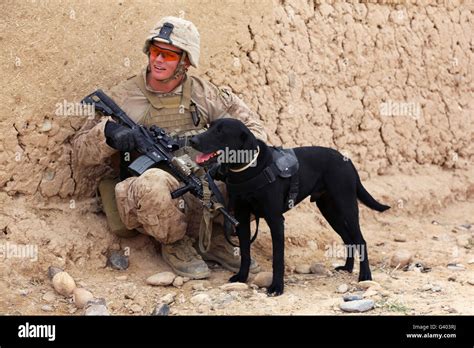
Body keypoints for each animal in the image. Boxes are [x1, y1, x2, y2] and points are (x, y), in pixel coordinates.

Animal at [189, 118, 388, 294]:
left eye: (220, 132)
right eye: (209, 126)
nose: (192, 140)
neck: (248, 170)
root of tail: (346, 159)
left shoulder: (276, 220)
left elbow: (278, 258)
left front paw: (277, 287)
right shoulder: (242, 219)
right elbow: (245, 253)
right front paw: (241, 277)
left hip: (347, 207)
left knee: (360, 240)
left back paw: (365, 276)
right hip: (330, 212)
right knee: (348, 238)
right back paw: (347, 267)